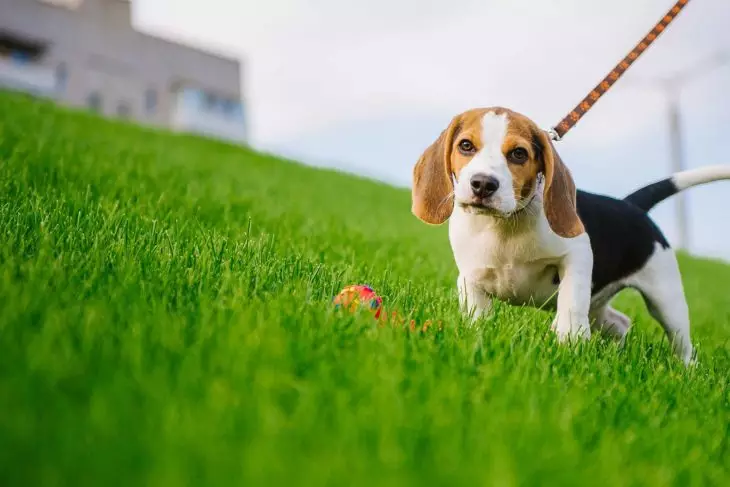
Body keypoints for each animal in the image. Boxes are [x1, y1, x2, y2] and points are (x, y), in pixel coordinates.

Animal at [410, 107, 728, 366]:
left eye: (518, 154)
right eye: (466, 145)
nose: (483, 184)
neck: (504, 226)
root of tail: (631, 205)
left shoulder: (577, 254)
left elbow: (571, 301)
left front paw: (568, 339)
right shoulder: (469, 278)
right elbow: (477, 313)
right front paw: (479, 335)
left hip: (666, 298)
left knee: (682, 345)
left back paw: (686, 371)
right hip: (600, 305)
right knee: (620, 322)